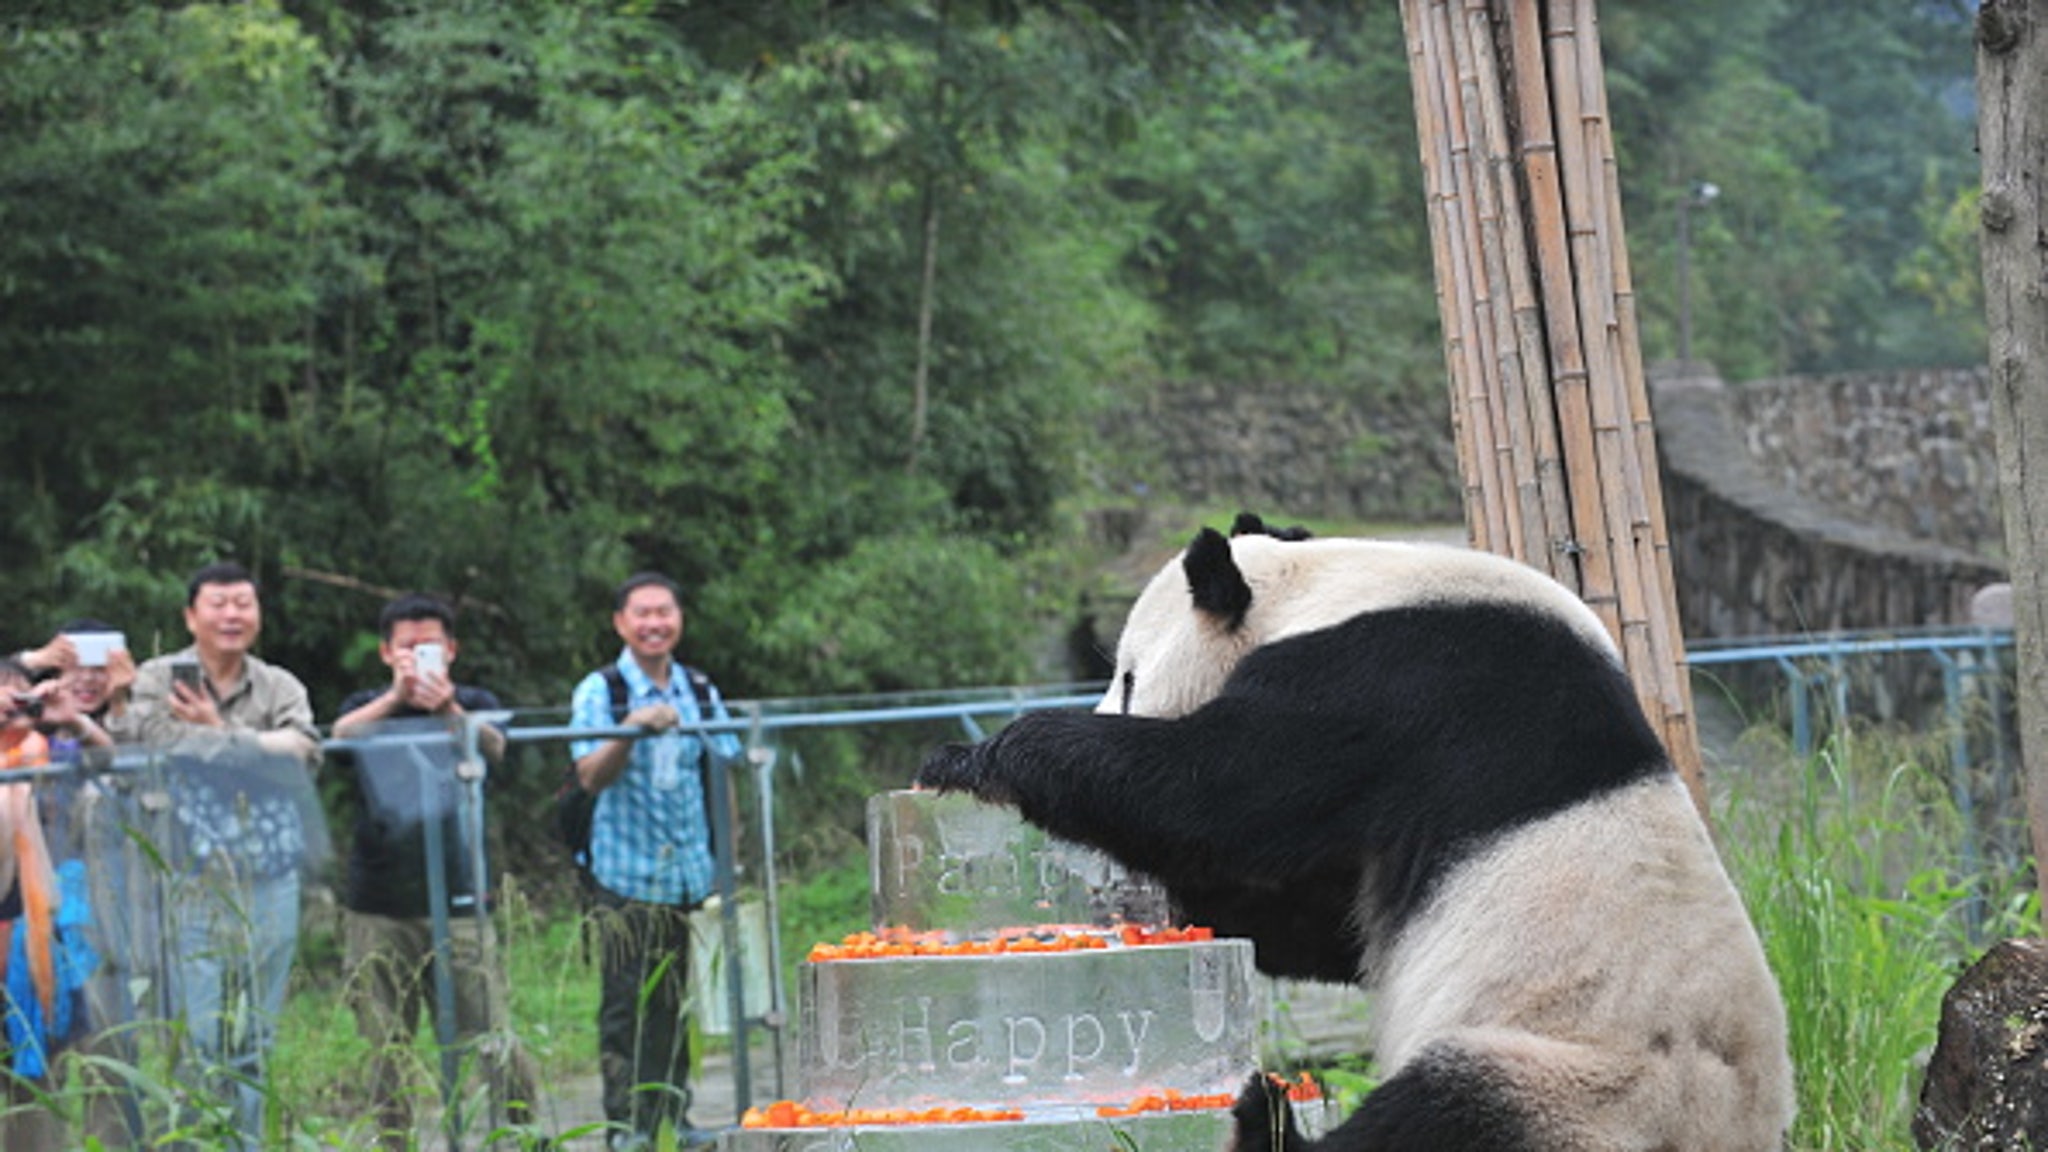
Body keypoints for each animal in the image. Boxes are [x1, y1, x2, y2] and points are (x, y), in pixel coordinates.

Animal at [916, 514, 1793, 1152]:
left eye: (1128, 678)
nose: (1111, 699)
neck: (1328, 586)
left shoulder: (1383, 687)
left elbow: (1219, 795)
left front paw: (984, 756)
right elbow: (1327, 923)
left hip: (1586, 1085)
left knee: (1441, 1116)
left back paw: (1264, 1119)